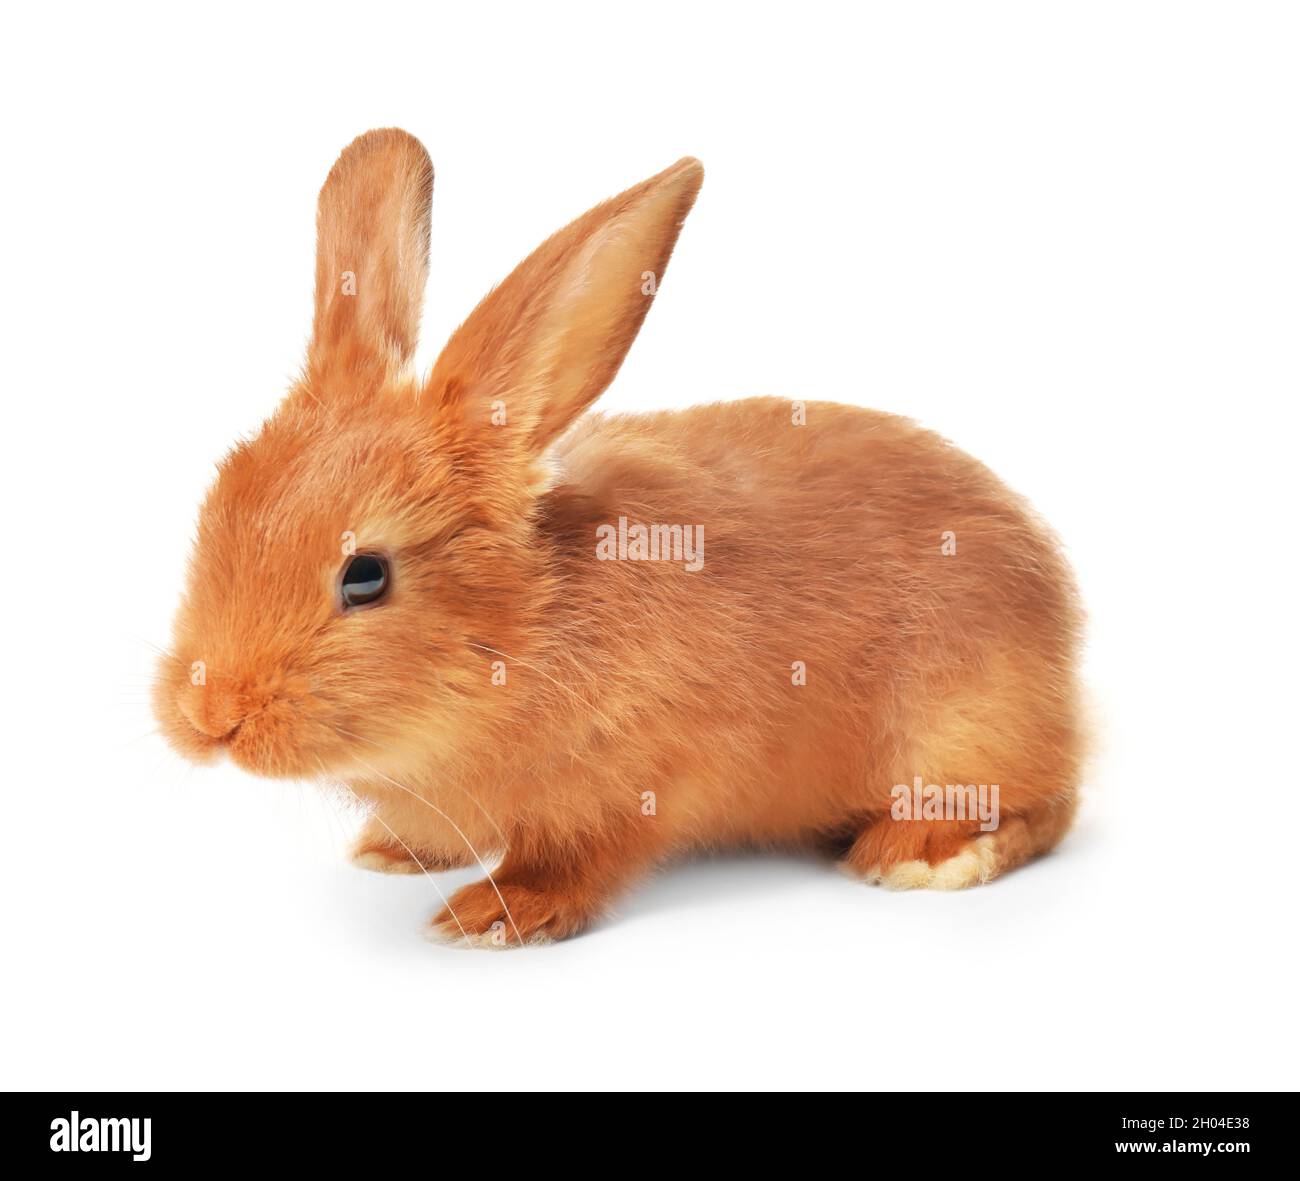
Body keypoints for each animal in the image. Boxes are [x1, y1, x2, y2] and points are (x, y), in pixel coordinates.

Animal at [154, 127, 1084, 947]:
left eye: (365, 575)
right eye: (215, 511)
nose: (209, 713)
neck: (525, 631)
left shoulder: (639, 779)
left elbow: (578, 855)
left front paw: (494, 917)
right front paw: (392, 851)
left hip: (964, 727)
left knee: (1044, 807)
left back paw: (921, 853)